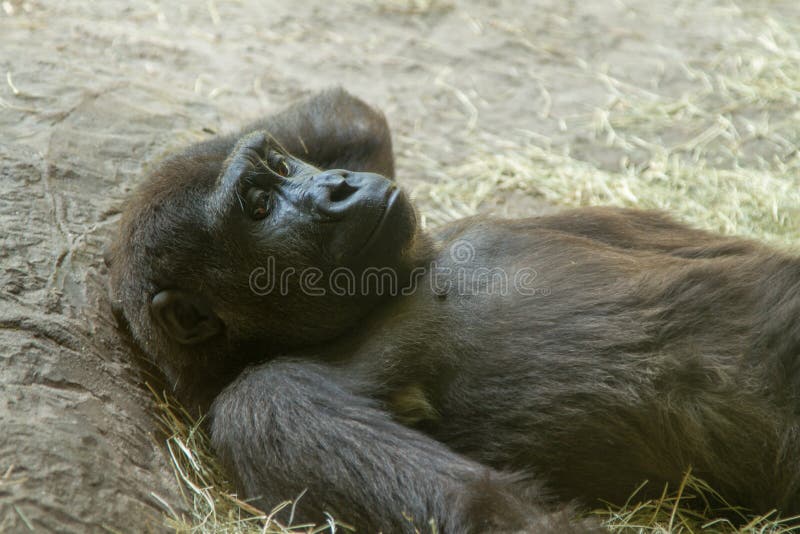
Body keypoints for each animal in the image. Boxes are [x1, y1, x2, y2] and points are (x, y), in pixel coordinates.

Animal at [107, 88, 800, 532]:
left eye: (281, 165)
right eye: (257, 206)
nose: (337, 186)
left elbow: (353, 119)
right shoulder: (263, 402)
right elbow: (489, 509)